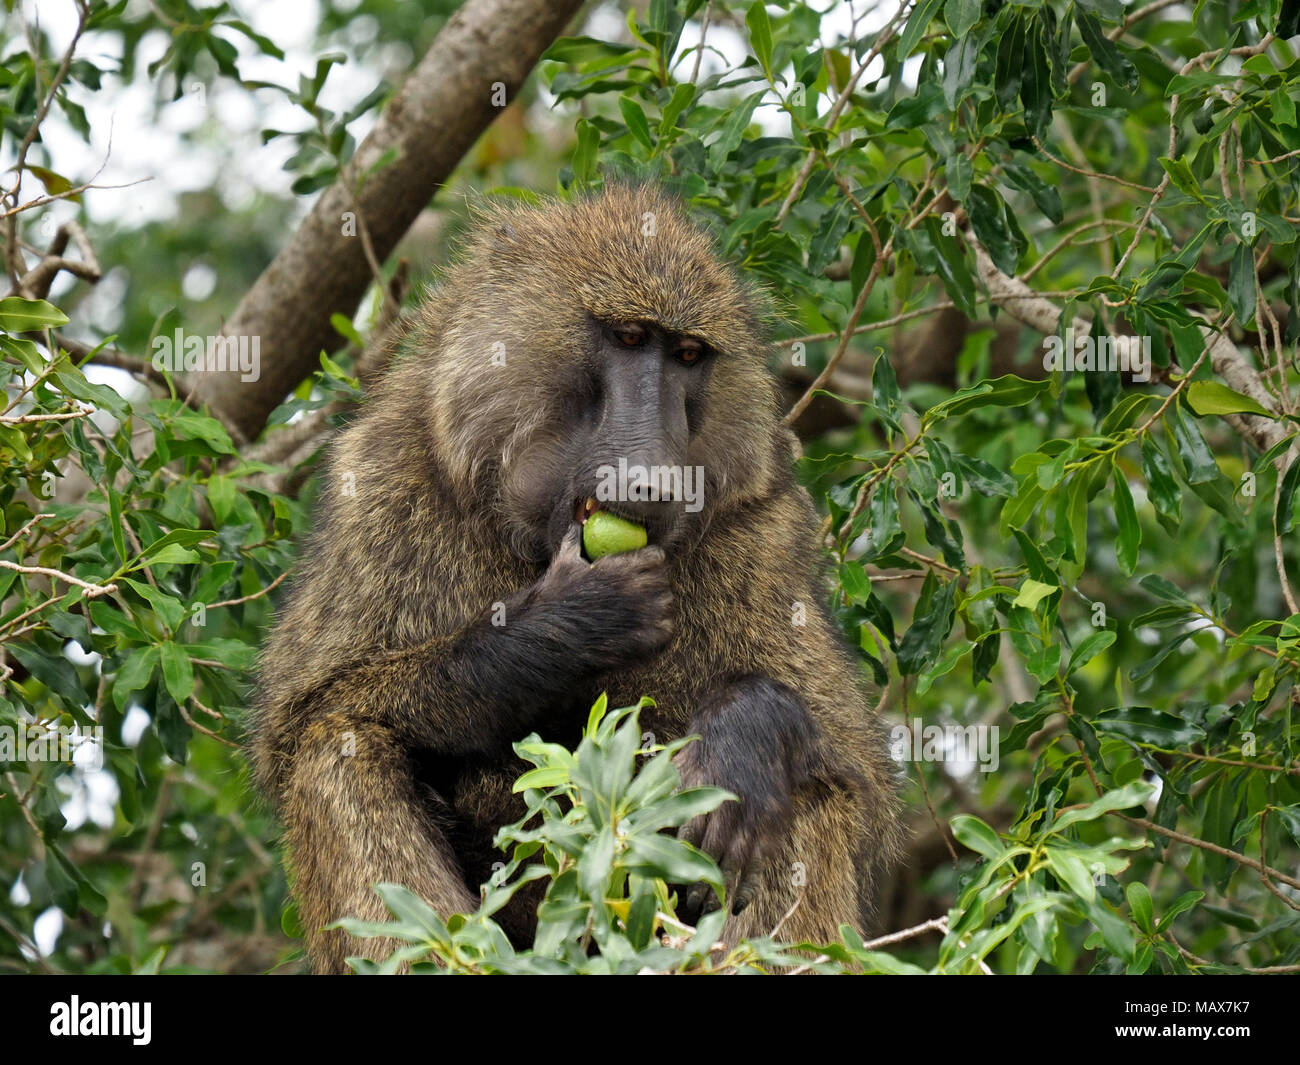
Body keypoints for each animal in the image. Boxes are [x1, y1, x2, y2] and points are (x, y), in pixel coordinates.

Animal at [250, 183, 902, 974]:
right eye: (627, 338)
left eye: (688, 355)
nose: (654, 477)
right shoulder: (377, 481)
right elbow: (304, 719)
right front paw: (568, 625)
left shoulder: (764, 527)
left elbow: (855, 771)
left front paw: (742, 742)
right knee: (340, 748)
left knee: (807, 792)